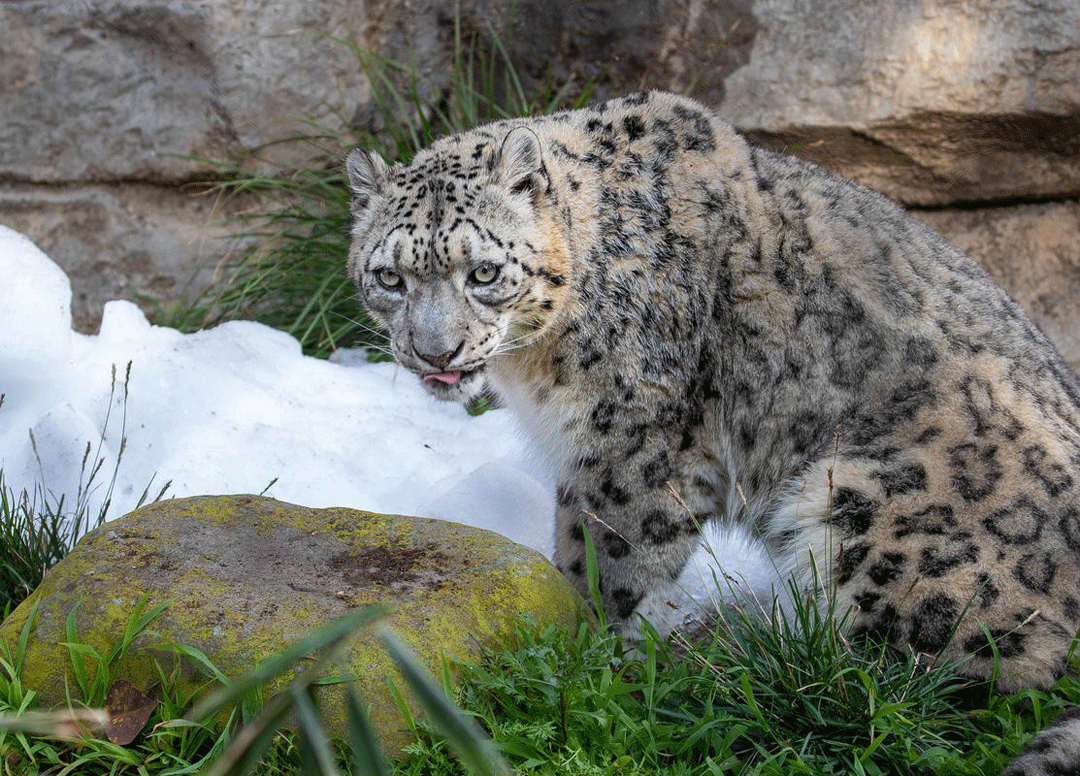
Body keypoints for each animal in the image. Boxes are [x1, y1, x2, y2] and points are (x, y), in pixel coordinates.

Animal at [345, 90, 1080, 772]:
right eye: (389, 277)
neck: (535, 362)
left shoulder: (633, 445)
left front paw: (589, 652)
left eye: (484, 272)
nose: (434, 352)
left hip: (860, 504)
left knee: (928, 679)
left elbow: (613, 563)